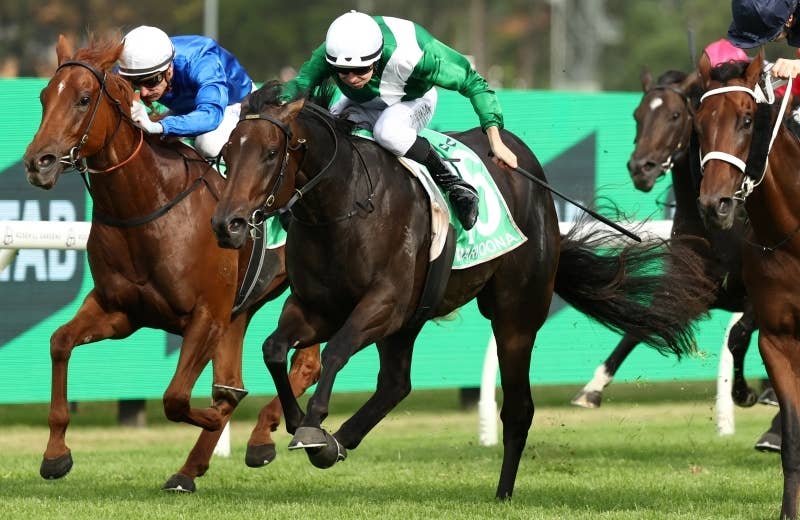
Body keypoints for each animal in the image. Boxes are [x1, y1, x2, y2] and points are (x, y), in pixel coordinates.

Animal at [21, 35, 320, 493]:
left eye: (83, 99)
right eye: (42, 97)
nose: (39, 162)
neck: (147, 204)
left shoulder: (206, 315)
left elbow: (177, 397)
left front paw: (215, 418)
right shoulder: (121, 311)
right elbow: (59, 342)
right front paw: (55, 454)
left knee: (305, 364)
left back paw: (259, 436)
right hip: (240, 310)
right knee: (246, 376)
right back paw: (195, 466)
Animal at [210, 81, 717, 499]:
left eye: (270, 153)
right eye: (228, 154)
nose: (226, 224)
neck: (344, 205)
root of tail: (528, 169)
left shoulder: (384, 303)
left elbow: (334, 351)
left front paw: (313, 428)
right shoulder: (317, 306)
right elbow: (274, 349)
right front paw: (301, 426)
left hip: (514, 316)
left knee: (518, 408)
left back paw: (503, 492)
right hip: (416, 316)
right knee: (396, 384)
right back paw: (342, 441)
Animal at [572, 68, 762, 412]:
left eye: (675, 115)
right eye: (637, 114)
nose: (640, 168)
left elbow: (739, 335)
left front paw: (744, 392)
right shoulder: (688, 287)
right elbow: (642, 323)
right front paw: (592, 388)